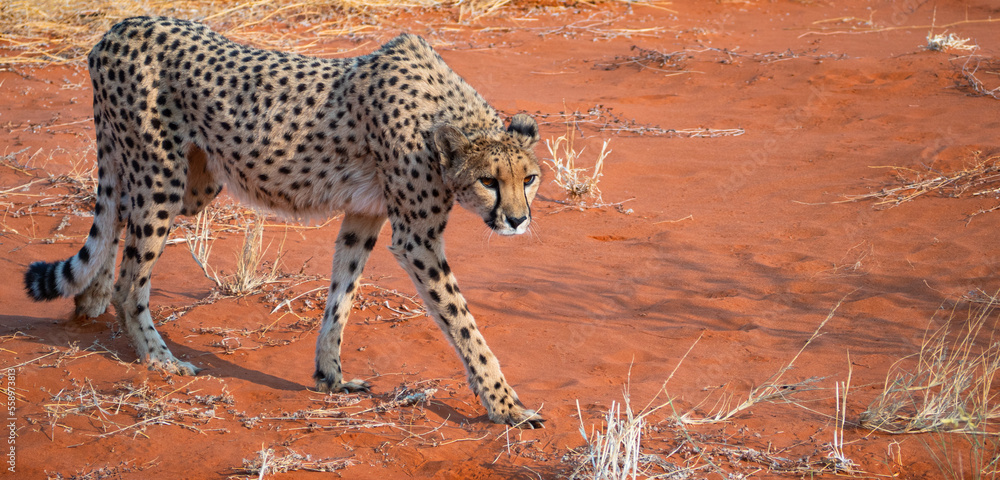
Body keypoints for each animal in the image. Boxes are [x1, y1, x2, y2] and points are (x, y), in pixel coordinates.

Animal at [23, 16, 544, 428]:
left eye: (530, 178)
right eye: (488, 181)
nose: (517, 220)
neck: (445, 121)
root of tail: (118, 27)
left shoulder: (364, 215)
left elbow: (342, 294)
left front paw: (330, 376)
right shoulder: (417, 239)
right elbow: (464, 324)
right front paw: (506, 406)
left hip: (188, 181)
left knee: (115, 214)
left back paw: (89, 297)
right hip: (162, 179)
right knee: (131, 279)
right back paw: (158, 357)